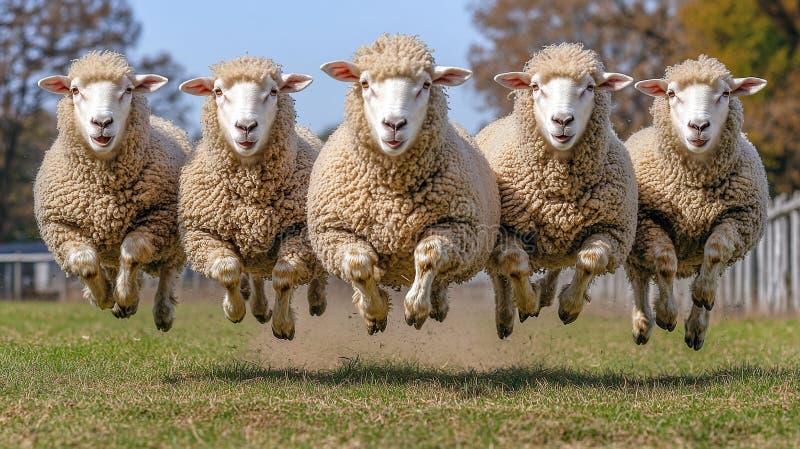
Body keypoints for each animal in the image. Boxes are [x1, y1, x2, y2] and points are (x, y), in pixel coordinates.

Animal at [34, 51, 190, 331]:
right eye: (75, 90)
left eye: (128, 90)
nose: (102, 122)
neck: (105, 192)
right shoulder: (61, 224)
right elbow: (84, 263)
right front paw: (105, 297)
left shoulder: (159, 216)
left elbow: (133, 252)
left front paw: (126, 298)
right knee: (108, 264)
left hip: (175, 241)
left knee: (168, 271)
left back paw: (161, 312)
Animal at [178, 56, 327, 340]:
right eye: (218, 91)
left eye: (273, 91)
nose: (246, 127)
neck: (250, 192)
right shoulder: (202, 232)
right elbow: (227, 270)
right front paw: (233, 310)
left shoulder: (300, 230)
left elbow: (285, 276)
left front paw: (283, 324)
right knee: (254, 274)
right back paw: (257, 306)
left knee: (316, 271)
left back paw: (317, 301)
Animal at [310, 34, 500, 334]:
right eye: (365, 83)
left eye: (426, 84)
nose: (395, 124)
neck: (393, 196)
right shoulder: (333, 230)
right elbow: (358, 265)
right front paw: (374, 311)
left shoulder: (459, 225)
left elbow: (429, 256)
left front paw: (415, 309)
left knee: (442, 275)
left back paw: (437, 304)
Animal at [478, 43, 637, 338]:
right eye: (535, 86)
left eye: (589, 87)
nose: (562, 120)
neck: (559, 192)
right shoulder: (504, 229)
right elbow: (514, 263)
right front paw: (526, 303)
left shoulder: (612, 229)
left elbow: (591, 261)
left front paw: (569, 306)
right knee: (499, 276)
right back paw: (506, 316)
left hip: (561, 243)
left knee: (558, 265)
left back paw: (548, 294)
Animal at [625, 55, 768, 350]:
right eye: (671, 93)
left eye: (726, 93)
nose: (699, 126)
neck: (694, 195)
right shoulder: (647, 219)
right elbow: (665, 262)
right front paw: (666, 314)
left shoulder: (739, 216)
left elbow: (715, 253)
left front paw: (701, 297)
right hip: (634, 243)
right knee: (640, 279)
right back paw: (642, 324)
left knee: (711, 270)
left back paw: (696, 327)